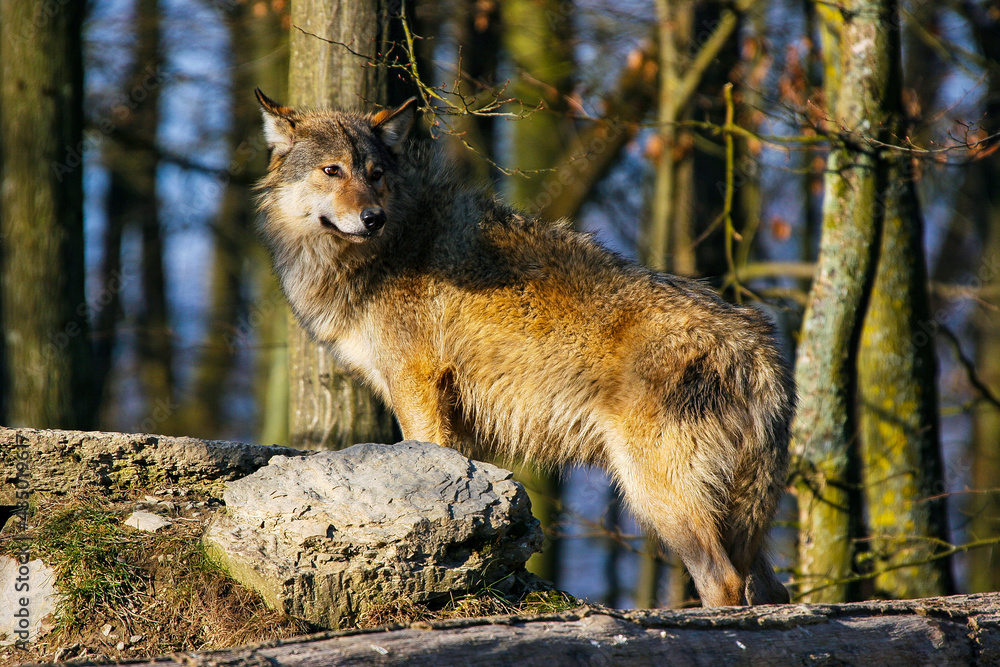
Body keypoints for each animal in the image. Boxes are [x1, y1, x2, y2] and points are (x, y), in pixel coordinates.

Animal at [253, 89, 794, 607]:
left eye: (375, 174)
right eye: (333, 170)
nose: (372, 217)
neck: (392, 245)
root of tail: (760, 348)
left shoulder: (417, 386)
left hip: (656, 494)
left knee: (724, 580)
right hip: (730, 512)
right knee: (773, 589)